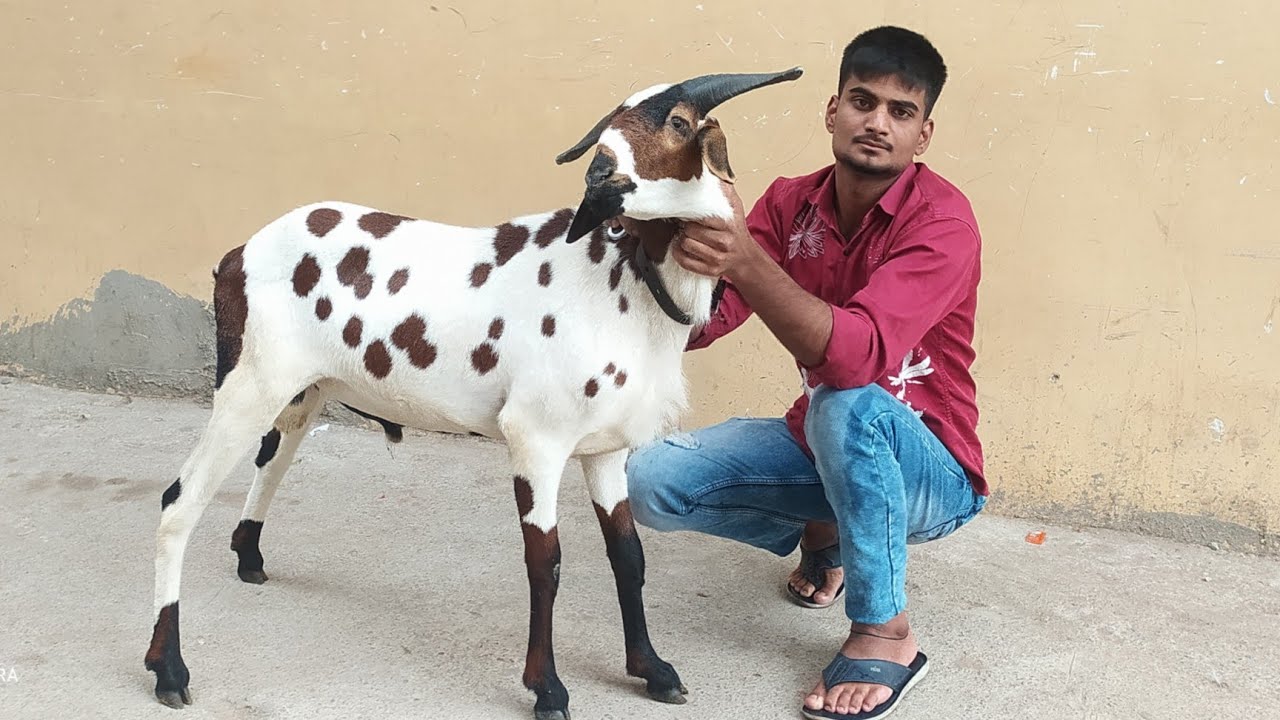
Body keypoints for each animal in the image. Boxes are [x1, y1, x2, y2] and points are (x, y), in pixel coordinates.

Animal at [144, 65, 804, 720]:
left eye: (680, 123)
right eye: (608, 131)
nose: (601, 177)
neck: (624, 284)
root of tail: (239, 254)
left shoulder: (604, 449)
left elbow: (628, 555)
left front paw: (652, 669)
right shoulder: (536, 440)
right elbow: (546, 564)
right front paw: (548, 689)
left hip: (302, 391)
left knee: (270, 463)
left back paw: (249, 558)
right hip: (248, 384)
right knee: (179, 502)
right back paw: (168, 668)